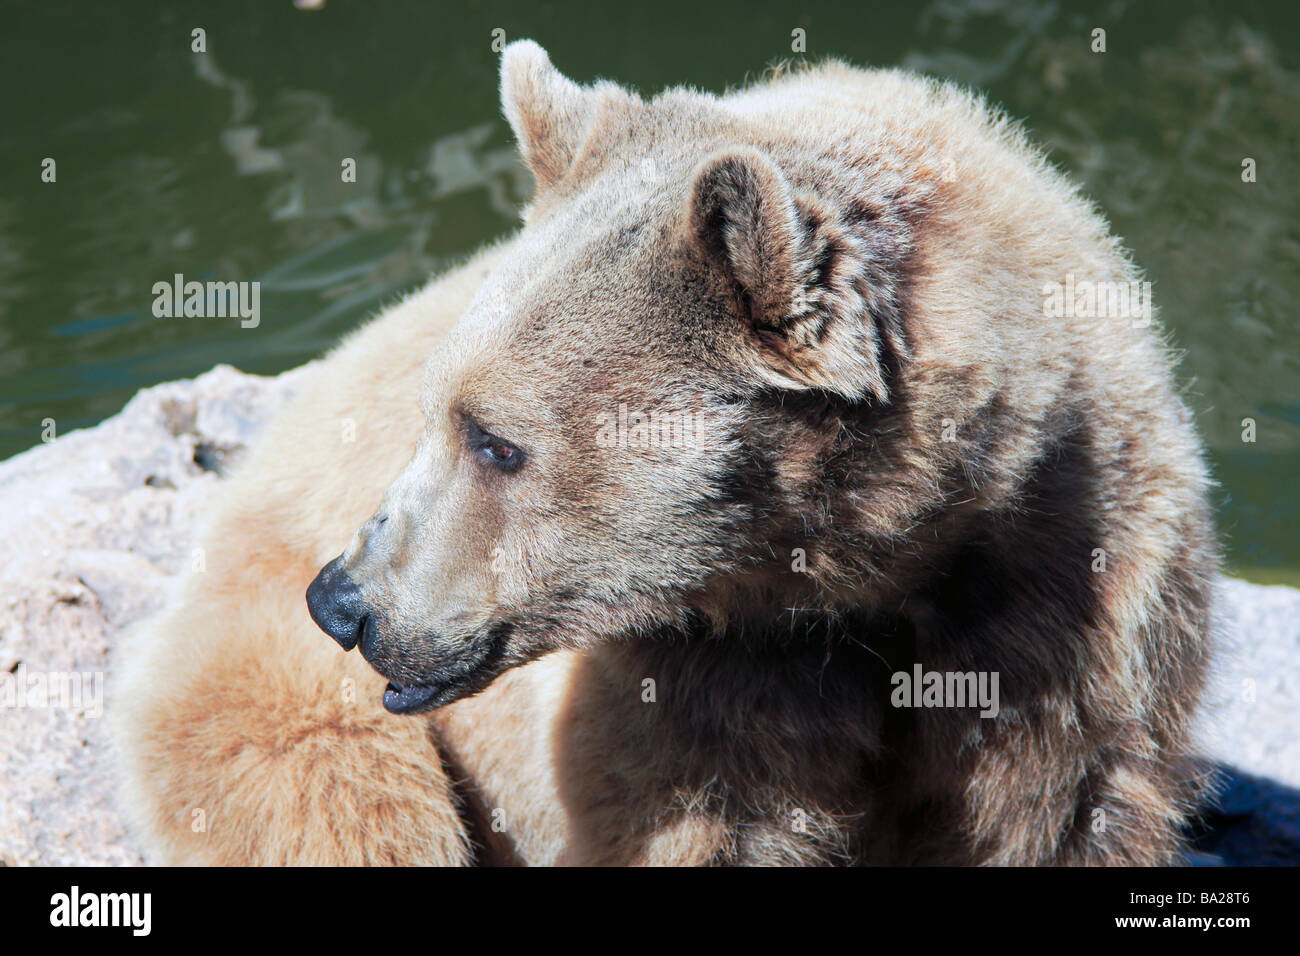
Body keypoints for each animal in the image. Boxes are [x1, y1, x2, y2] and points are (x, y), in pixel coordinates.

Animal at [113, 40, 1217, 866]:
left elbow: (1053, 811)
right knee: (337, 805)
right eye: (443, 416)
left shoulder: (1064, 608)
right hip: (272, 679)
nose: (344, 600)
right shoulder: (696, 683)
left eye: (496, 442)